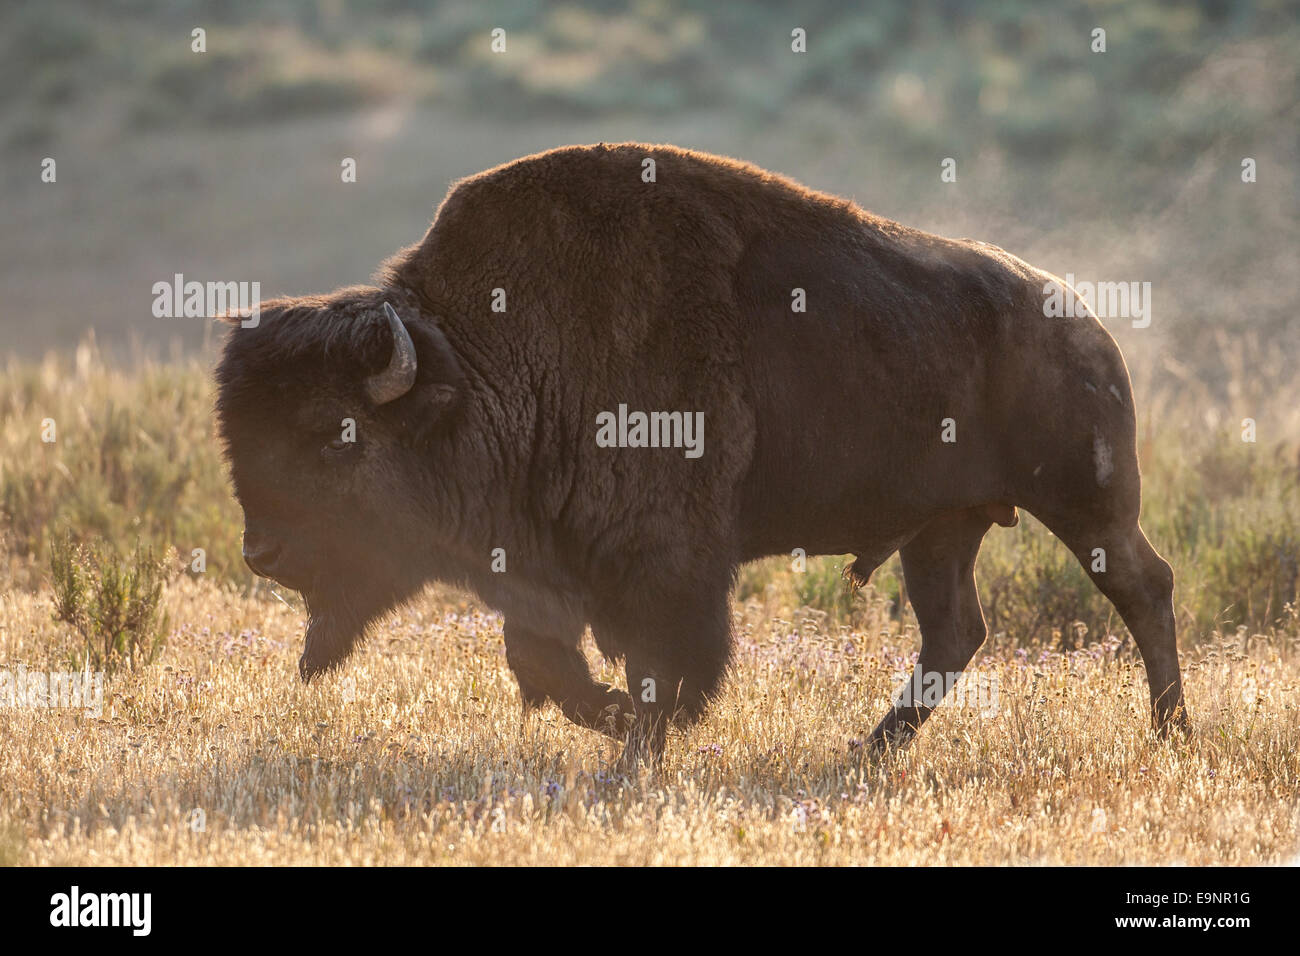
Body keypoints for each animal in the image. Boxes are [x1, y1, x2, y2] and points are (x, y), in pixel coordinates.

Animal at [216, 143, 1188, 762]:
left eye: (334, 436)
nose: (262, 552)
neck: (481, 361)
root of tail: (1082, 319)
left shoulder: (663, 565)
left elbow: (662, 666)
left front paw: (639, 746)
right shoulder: (544, 570)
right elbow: (545, 664)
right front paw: (615, 723)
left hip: (1084, 503)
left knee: (1144, 588)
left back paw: (1171, 733)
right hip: (940, 529)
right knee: (957, 630)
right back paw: (865, 750)